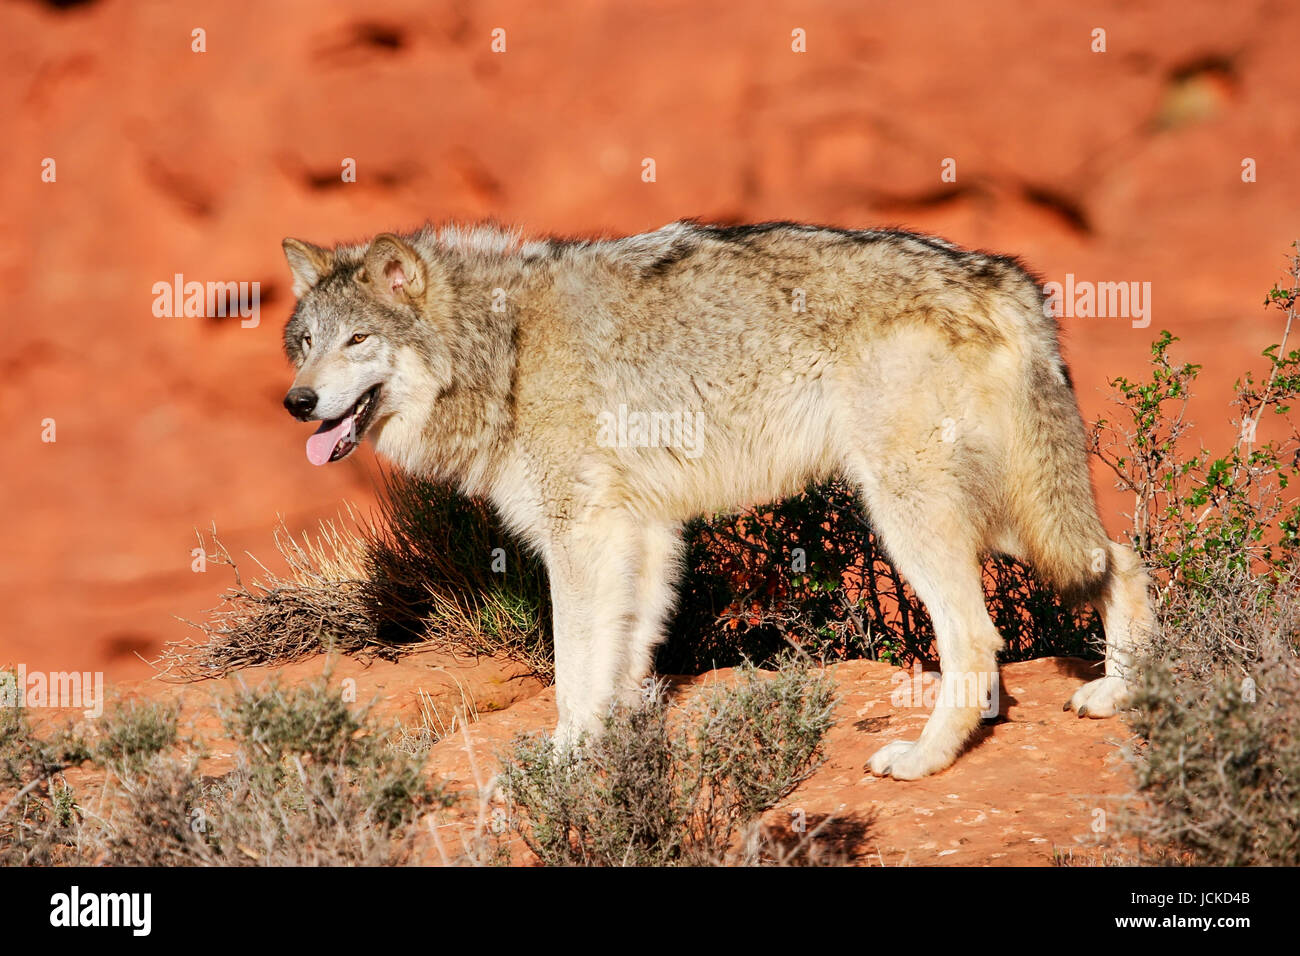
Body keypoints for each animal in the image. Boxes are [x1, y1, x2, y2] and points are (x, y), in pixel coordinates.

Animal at [279, 220, 1153, 780]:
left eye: (358, 340)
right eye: (306, 343)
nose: (297, 401)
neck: (506, 351)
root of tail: (1007, 278)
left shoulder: (582, 535)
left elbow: (573, 668)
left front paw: (563, 762)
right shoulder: (643, 534)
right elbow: (623, 658)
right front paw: (615, 745)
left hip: (914, 518)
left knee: (976, 641)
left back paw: (922, 761)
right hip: (1006, 518)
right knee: (1124, 560)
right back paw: (1119, 693)